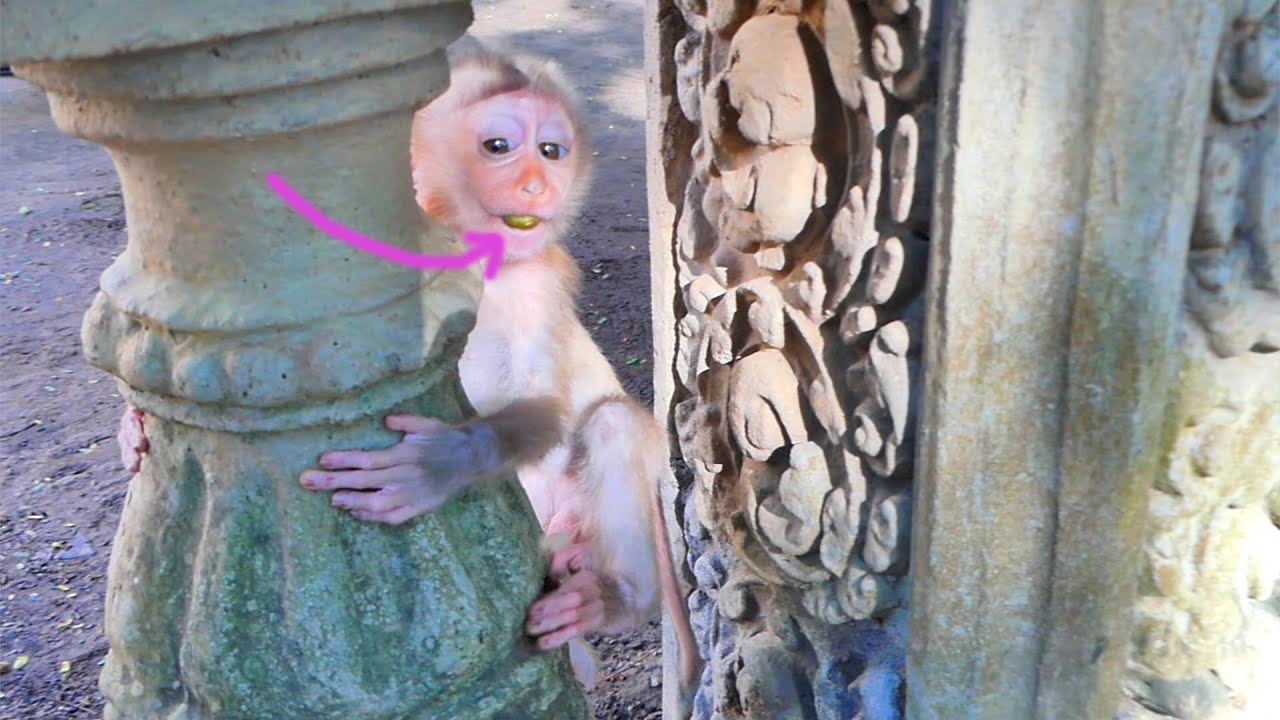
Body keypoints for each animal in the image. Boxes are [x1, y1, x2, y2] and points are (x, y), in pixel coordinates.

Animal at [116, 46, 701, 694]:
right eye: (499, 146)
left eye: (551, 150)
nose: (538, 183)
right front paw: (131, 427)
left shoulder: (535, 282)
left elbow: (545, 409)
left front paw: (440, 463)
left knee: (610, 424)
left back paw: (614, 599)